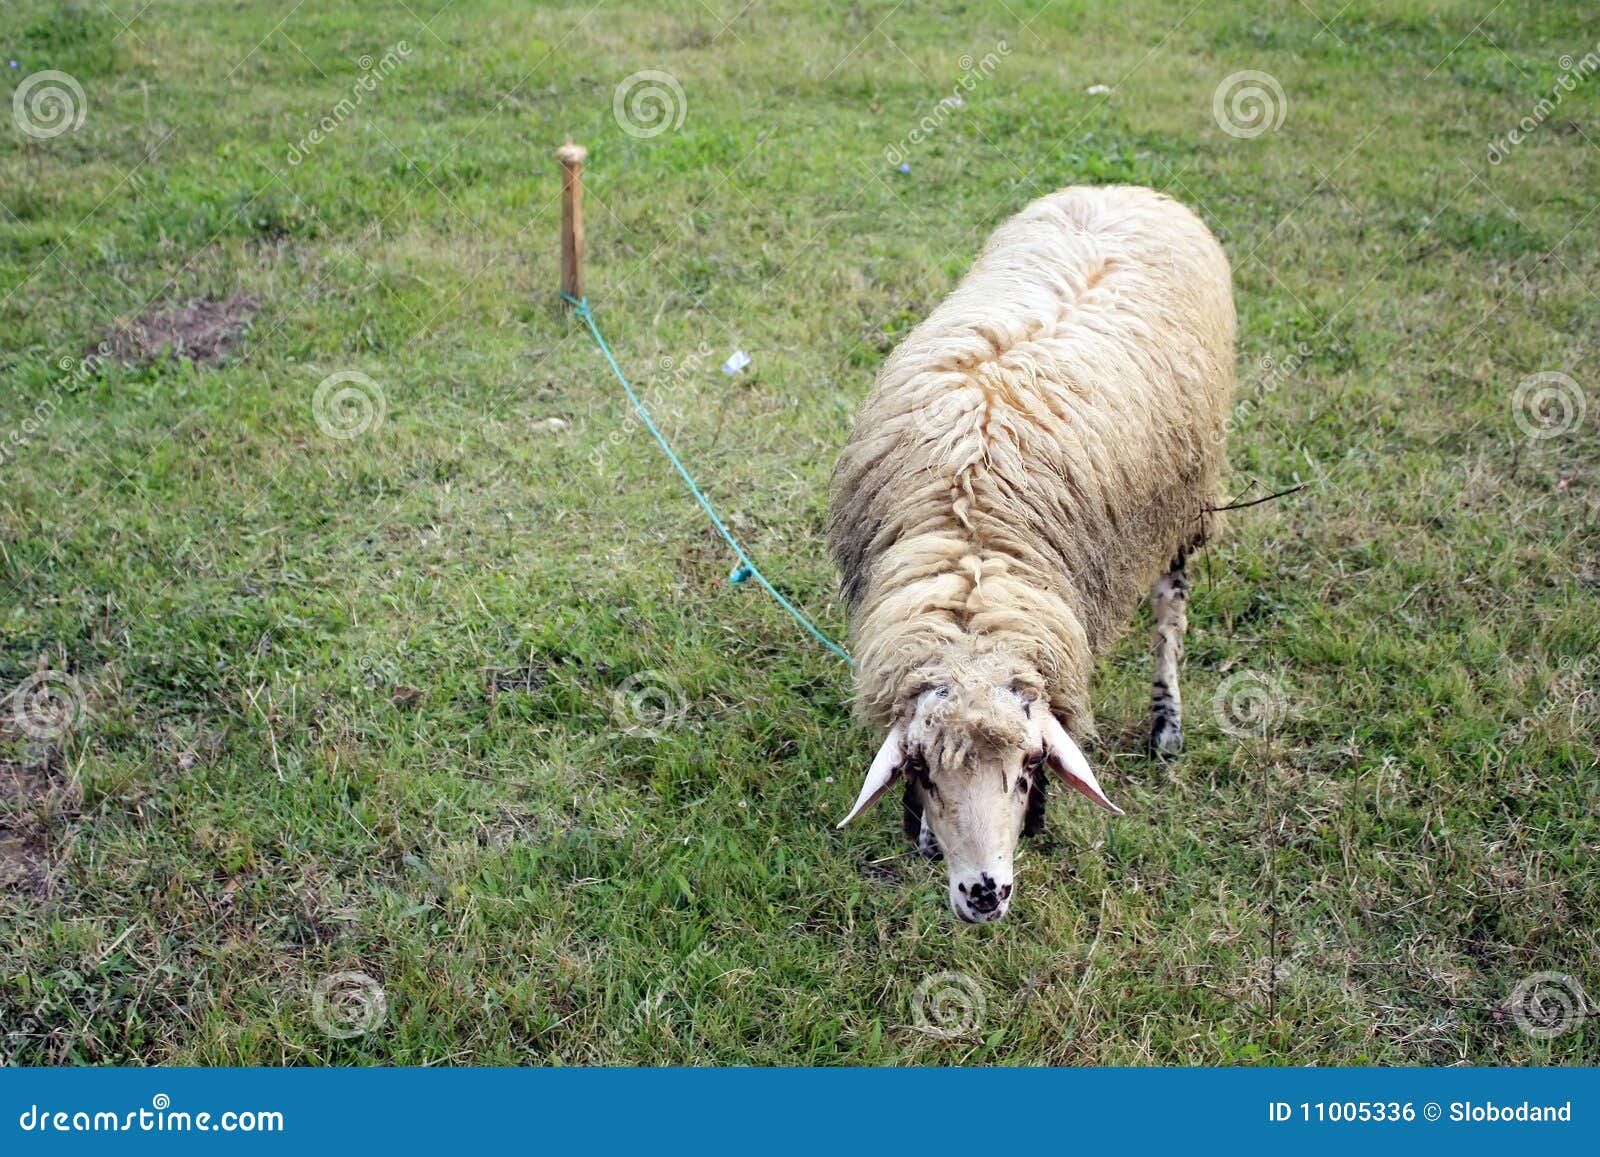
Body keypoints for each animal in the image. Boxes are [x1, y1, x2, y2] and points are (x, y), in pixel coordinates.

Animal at [828, 184, 1234, 923]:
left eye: (1026, 772)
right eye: (925, 772)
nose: (984, 892)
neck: (973, 562)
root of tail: (1116, 189)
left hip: (1183, 503)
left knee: (1169, 605)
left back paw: (1167, 722)